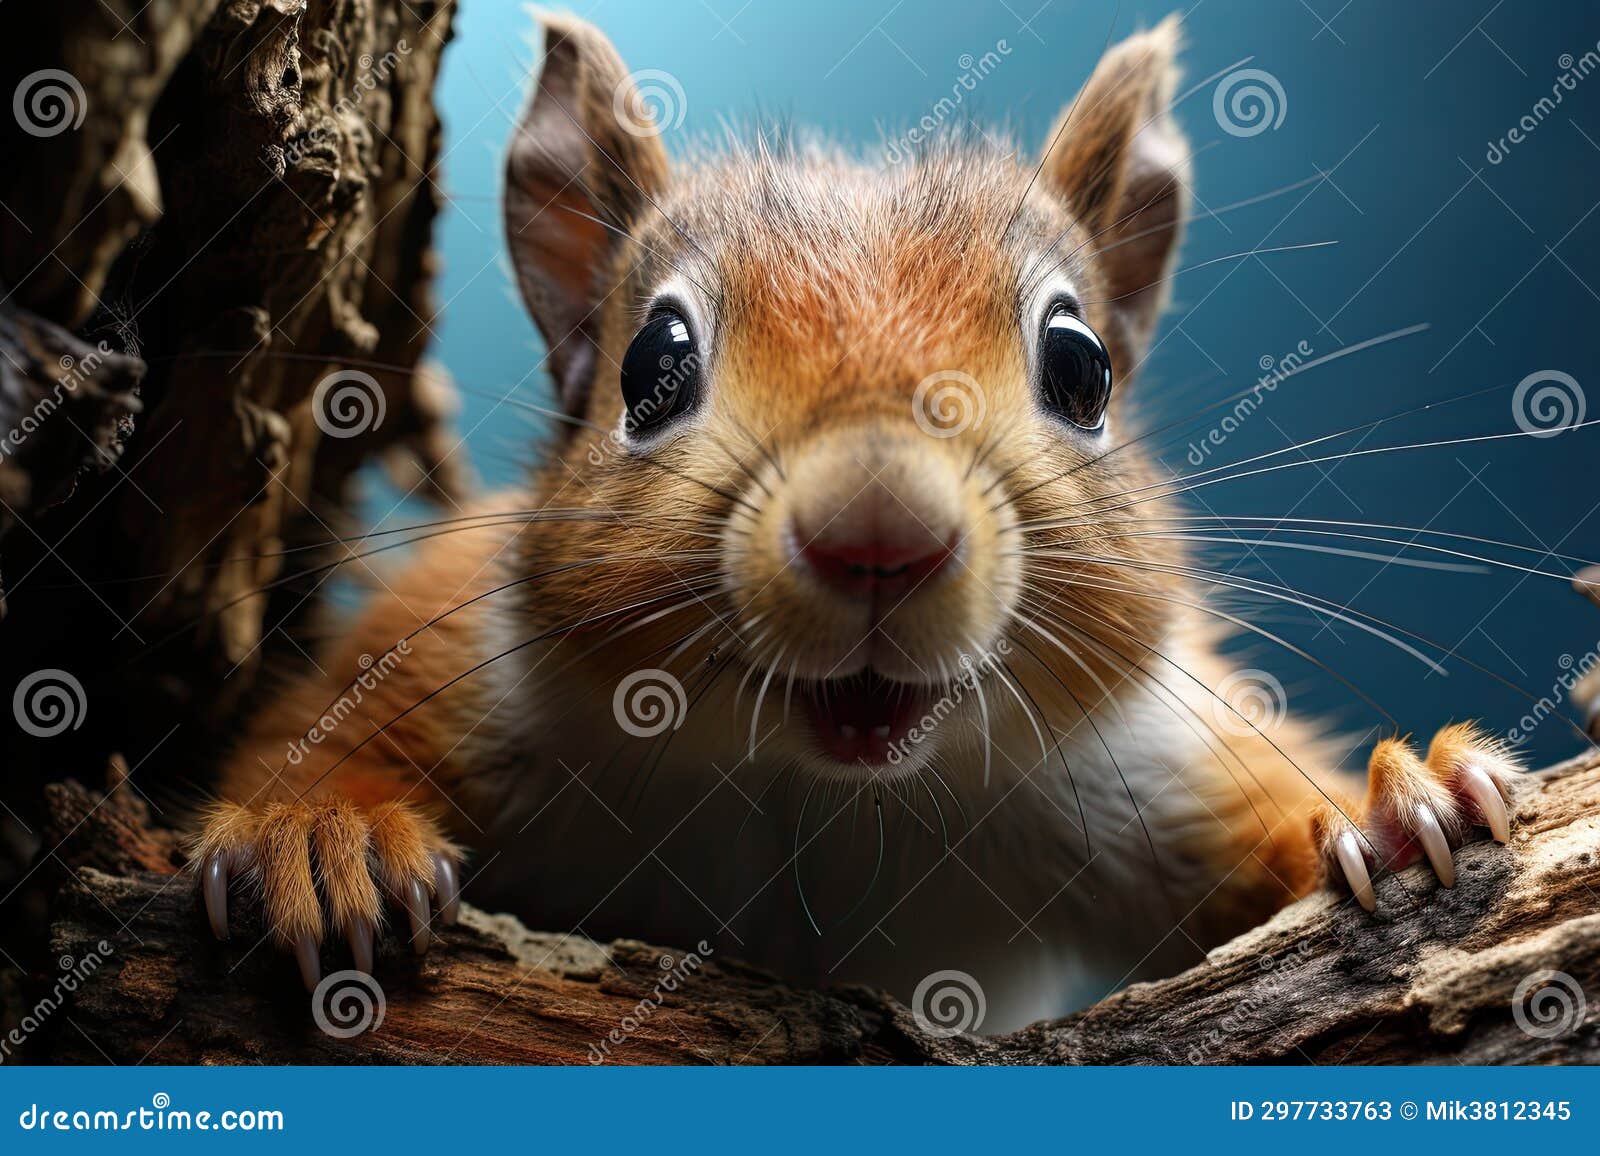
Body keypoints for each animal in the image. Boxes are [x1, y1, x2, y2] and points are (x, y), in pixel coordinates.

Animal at [189, 13, 1519, 1033]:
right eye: (651, 365)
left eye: (1081, 368)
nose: (879, 536)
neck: (822, 794)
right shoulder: (445, 649)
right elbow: (311, 733)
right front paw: (321, 837)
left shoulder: (1153, 752)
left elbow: (1258, 819)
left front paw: (1392, 807)